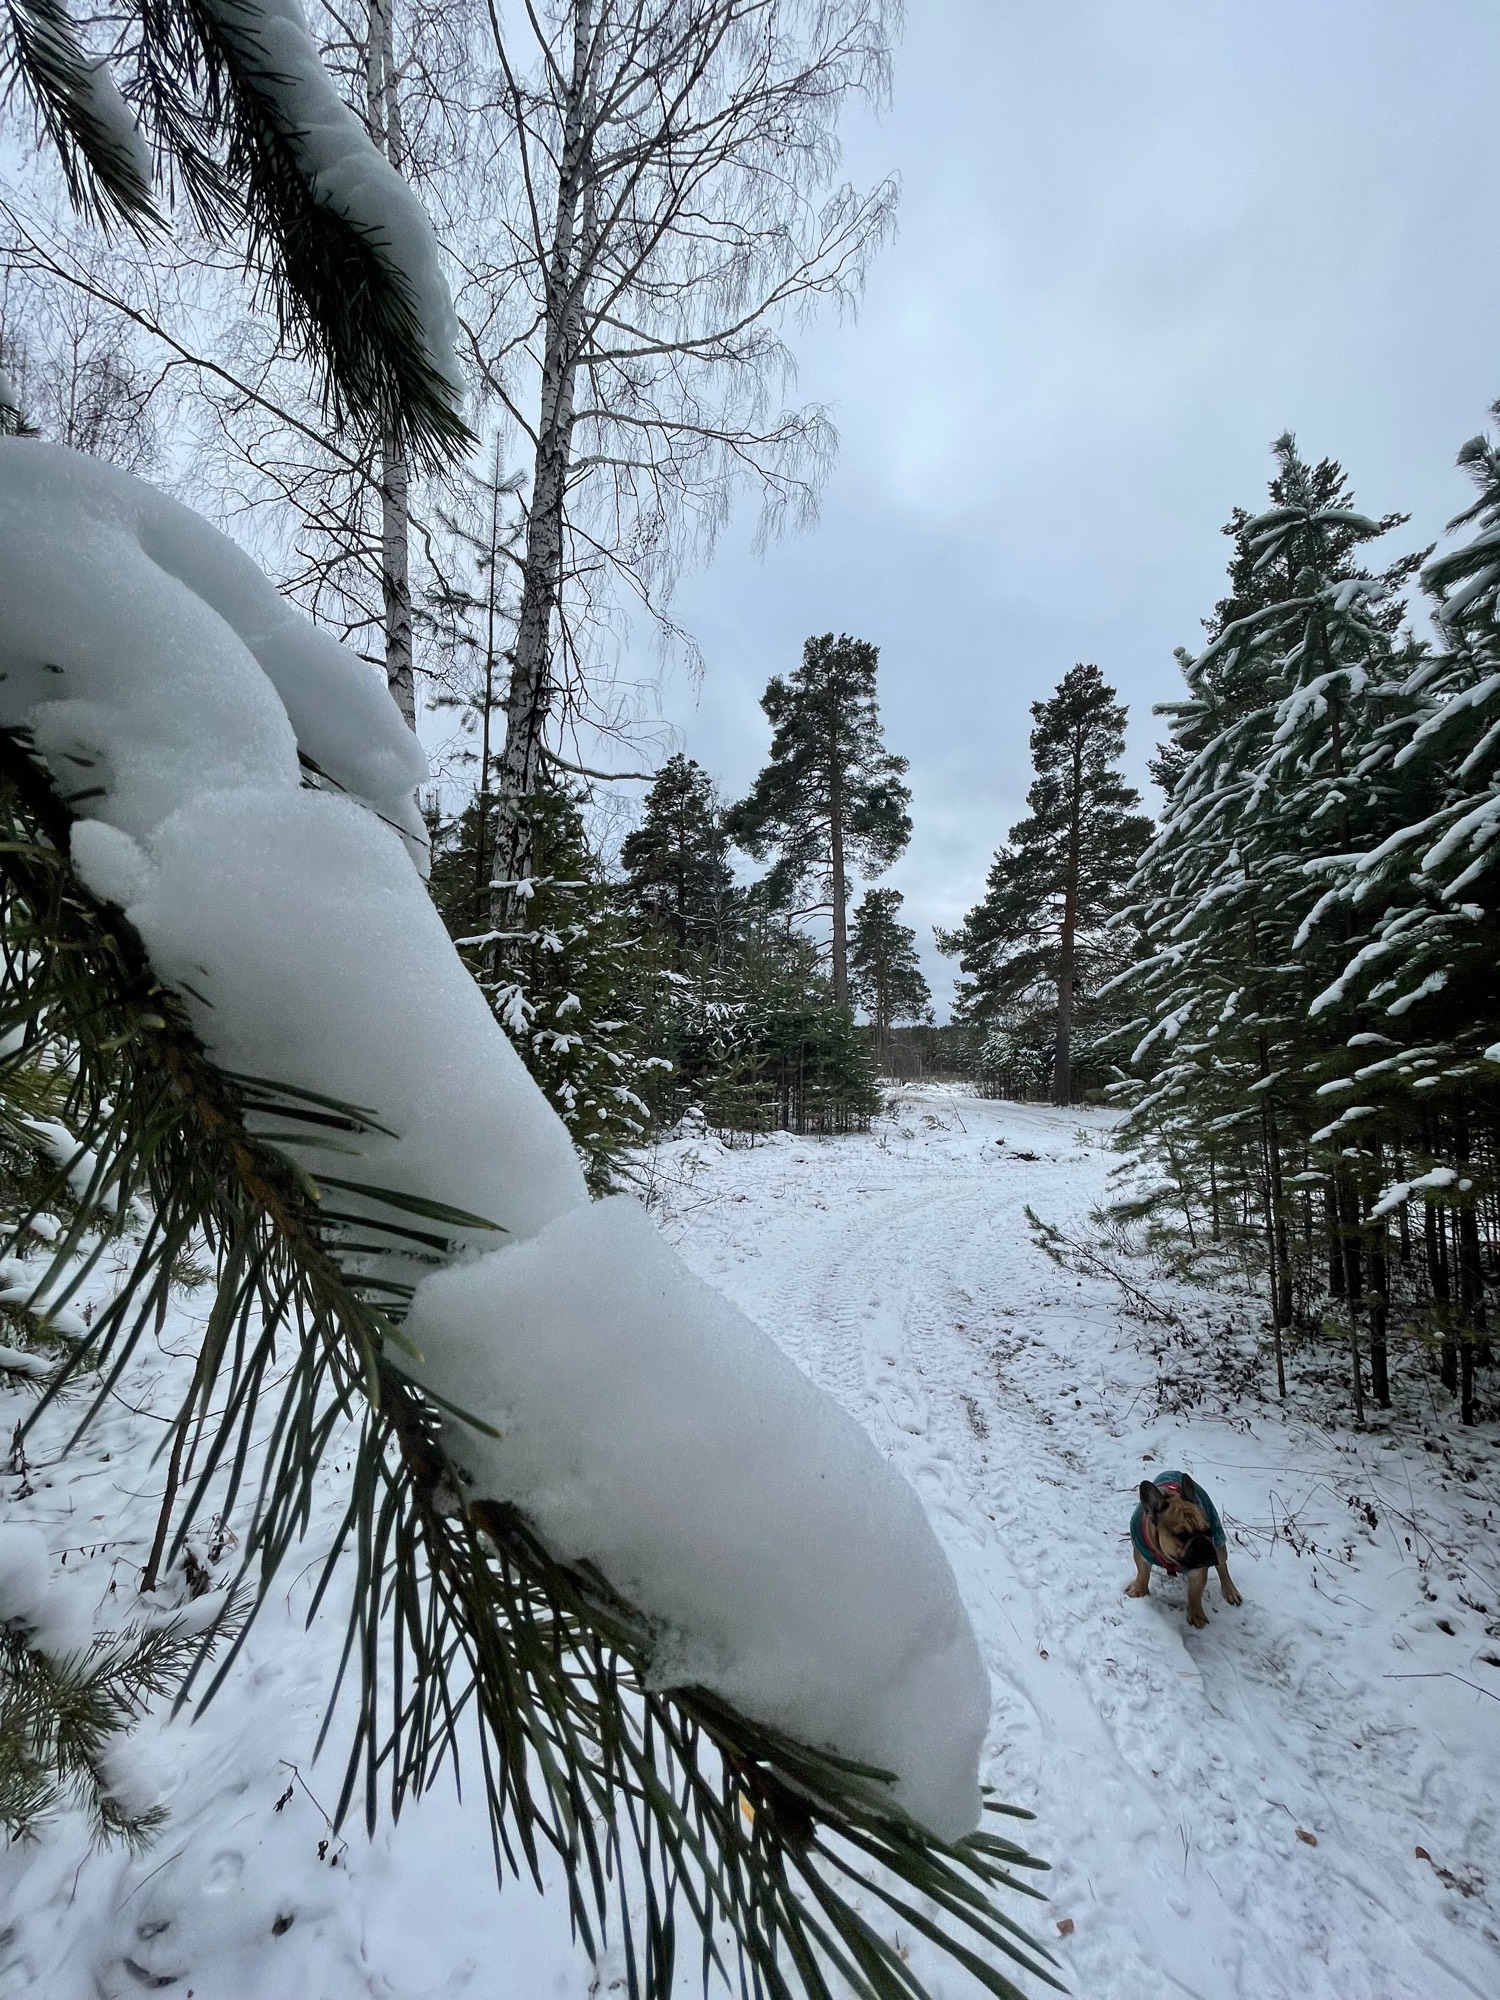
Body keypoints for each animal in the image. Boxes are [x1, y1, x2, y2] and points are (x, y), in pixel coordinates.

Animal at [1128, 1472, 1248, 1624]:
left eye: (1208, 1531)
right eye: (1182, 1536)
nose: (1203, 1544)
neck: (1170, 1559)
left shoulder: (1198, 1571)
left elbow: (1194, 1594)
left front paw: (1196, 1615)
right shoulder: (1141, 1554)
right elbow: (1143, 1573)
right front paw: (1139, 1589)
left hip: (1219, 1545)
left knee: (1222, 1567)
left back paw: (1230, 1591)